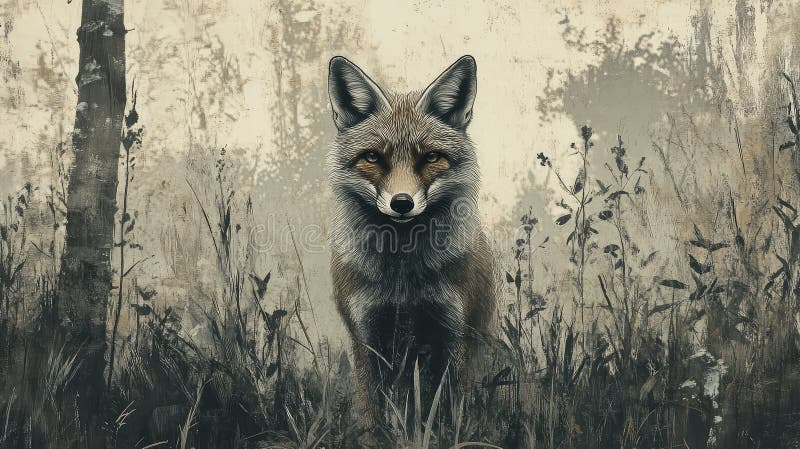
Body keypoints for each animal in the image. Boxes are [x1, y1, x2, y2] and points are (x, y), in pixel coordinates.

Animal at [326, 55, 496, 423]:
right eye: (373, 157)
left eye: (430, 157)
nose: (401, 203)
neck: (403, 279)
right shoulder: (367, 336)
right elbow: (373, 413)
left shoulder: (450, 333)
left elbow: (448, 411)